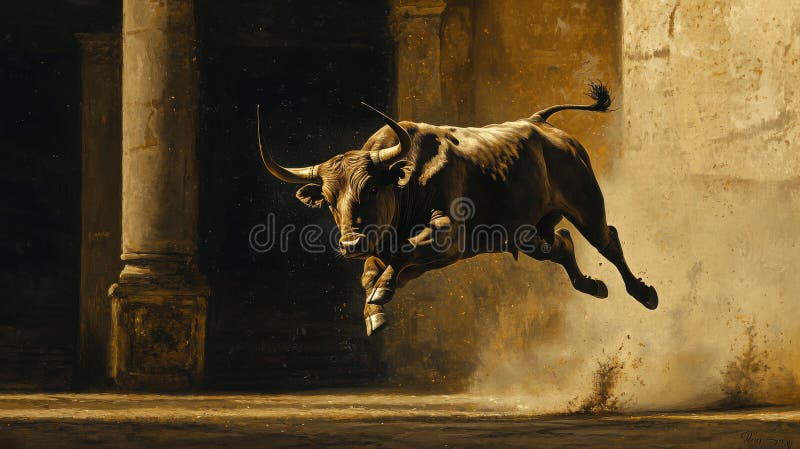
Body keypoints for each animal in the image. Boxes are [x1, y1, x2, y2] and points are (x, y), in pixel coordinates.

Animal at [256, 81, 658, 336]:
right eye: (327, 199)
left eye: (371, 187)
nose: (351, 244)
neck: (409, 181)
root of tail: (539, 124)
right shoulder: (408, 256)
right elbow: (371, 274)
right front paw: (375, 313)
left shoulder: (447, 238)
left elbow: (402, 254)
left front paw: (381, 296)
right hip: (527, 233)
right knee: (560, 243)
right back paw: (594, 286)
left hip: (586, 204)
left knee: (607, 241)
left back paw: (644, 294)